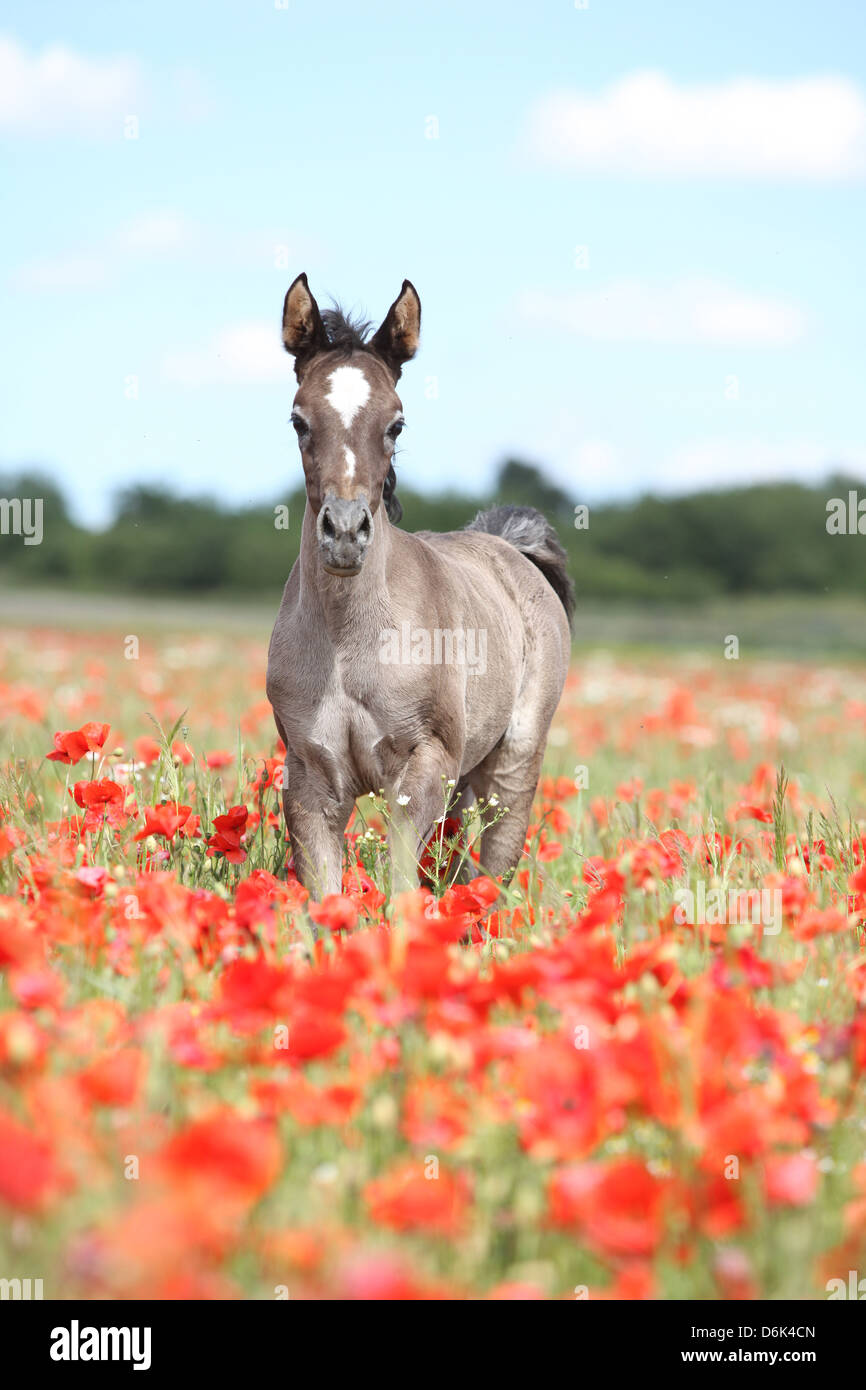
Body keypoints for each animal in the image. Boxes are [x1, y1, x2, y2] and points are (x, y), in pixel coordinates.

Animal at [266, 274, 574, 901]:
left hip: (513, 761)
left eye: (396, 424)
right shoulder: (310, 776)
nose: (345, 534)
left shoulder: (423, 766)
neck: (348, 644)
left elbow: (403, 884)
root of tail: (509, 547)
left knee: (495, 863)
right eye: (298, 420)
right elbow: (325, 895)